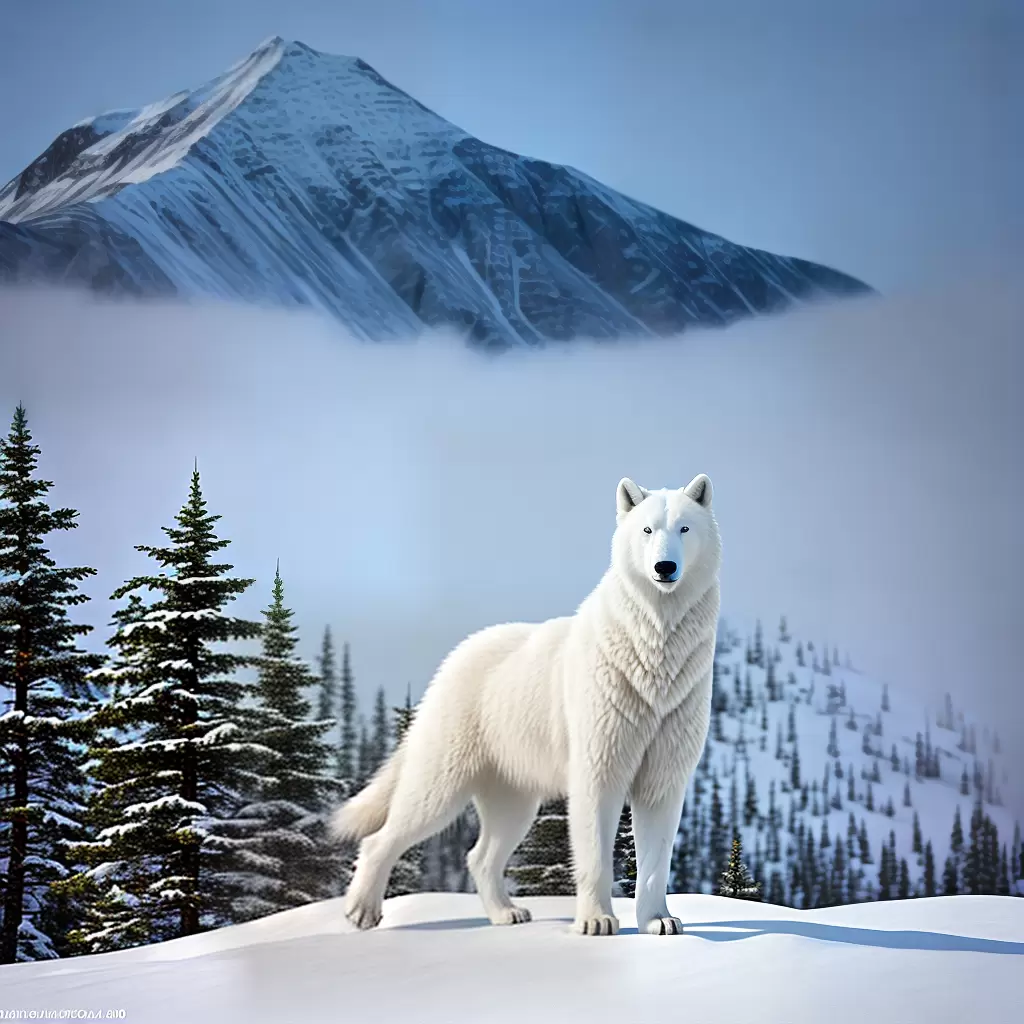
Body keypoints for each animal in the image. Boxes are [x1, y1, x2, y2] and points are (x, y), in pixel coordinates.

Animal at [332, 474, 721, 936]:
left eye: (684, 528)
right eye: (647, 529)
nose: (665, 568)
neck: (653, 652)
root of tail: (452, 658)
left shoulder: (667, 755)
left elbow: (657, 852)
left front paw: (660, 921)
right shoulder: (599, 750)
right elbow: (594, 843)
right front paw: (596, 921)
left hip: (513, 788)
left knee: (482, 853)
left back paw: (507, 913)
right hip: (447, 770)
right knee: (393, 828)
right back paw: (361, 911)